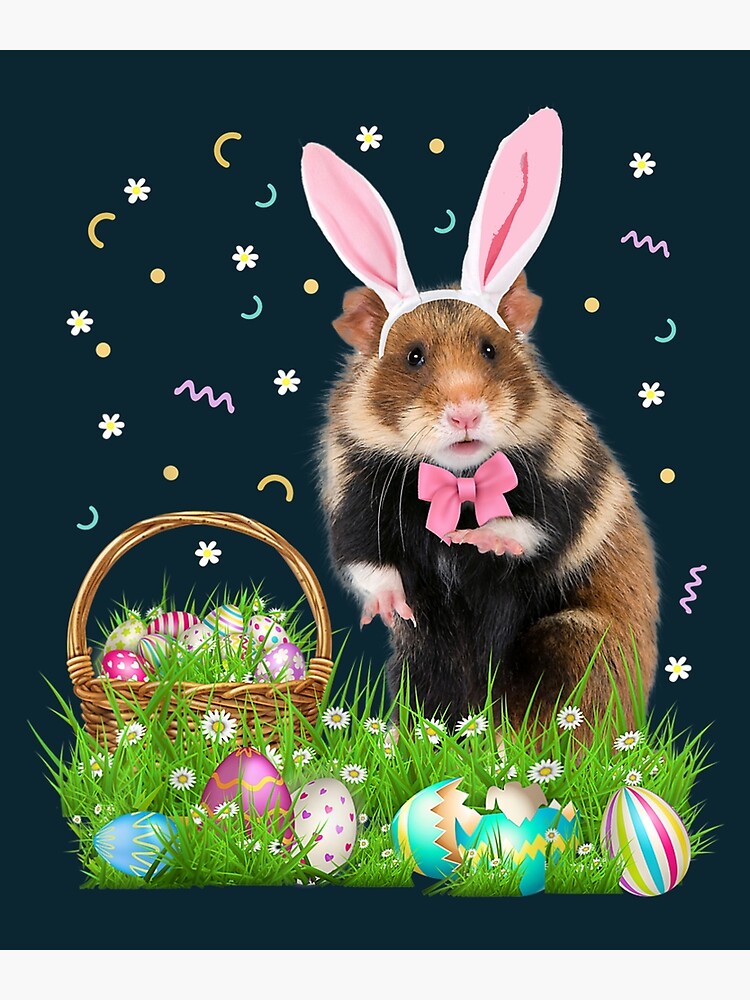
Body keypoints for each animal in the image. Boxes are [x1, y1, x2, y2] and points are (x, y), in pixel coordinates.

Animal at [319, 275, 659, 729]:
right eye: (414, 357)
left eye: (490, 350)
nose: (466, 414)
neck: (458, 478)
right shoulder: (353, 497)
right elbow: (367, 562)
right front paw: (390, 610)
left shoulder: (567, 483)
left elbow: (529, 525)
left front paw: (469, 538)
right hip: (418, 661)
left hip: (576, 644)